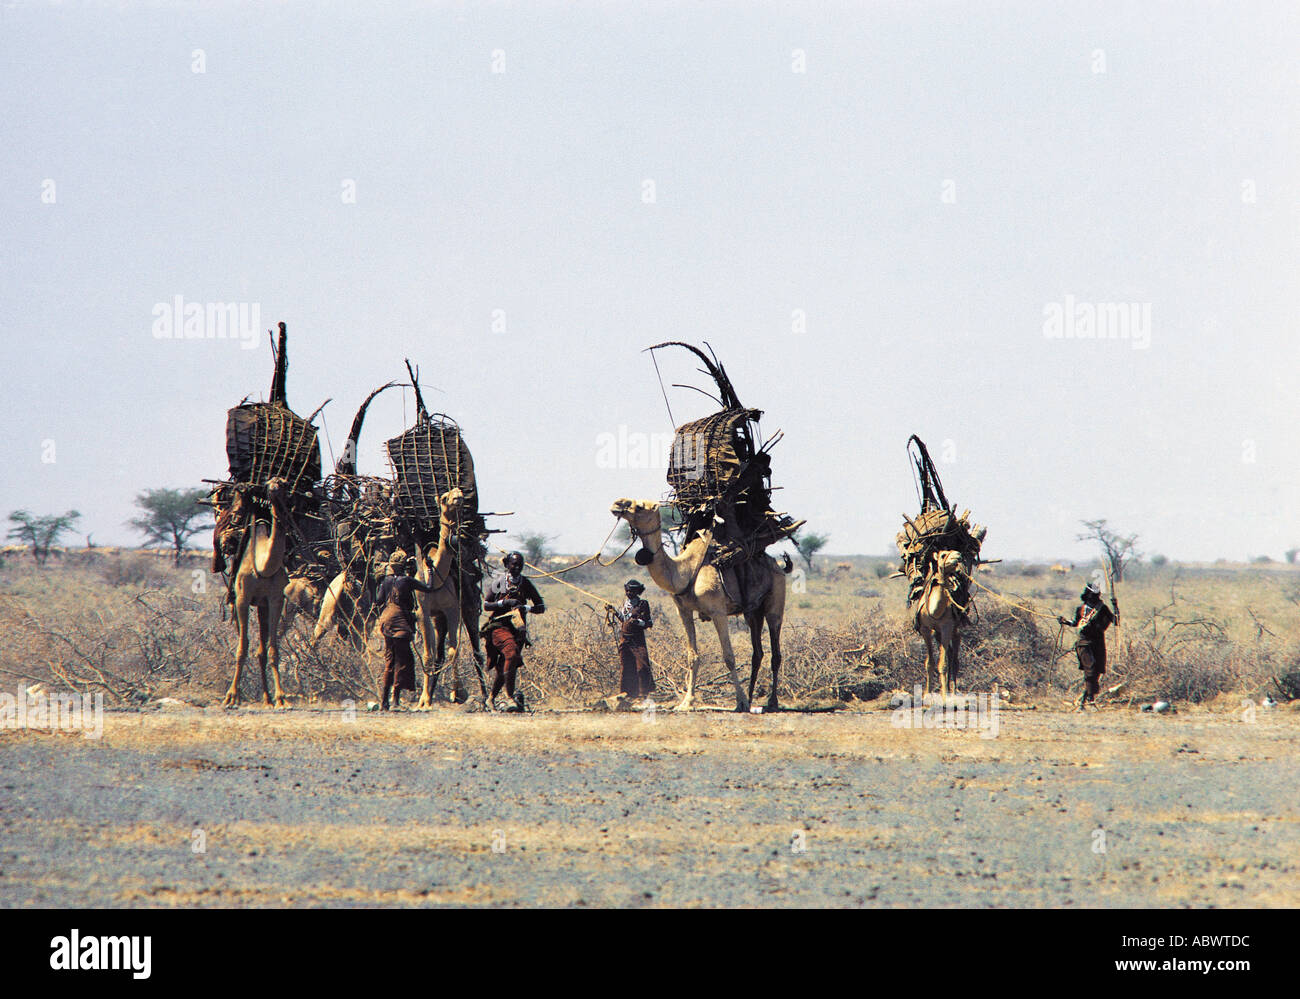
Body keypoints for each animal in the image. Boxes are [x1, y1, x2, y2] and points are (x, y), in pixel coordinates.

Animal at [224, 477, 291, 708]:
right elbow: (241, 648)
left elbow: (273, 649)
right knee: (243, 641)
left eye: (284, 484)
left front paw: (281, 698)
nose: (275, 489)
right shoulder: (243, 598)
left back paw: (267, 698)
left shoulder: (275, 599)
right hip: (238, 602)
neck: (262, 565)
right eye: (269, 483)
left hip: (262, 606)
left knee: (262, 650)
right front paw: (232, 696)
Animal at [610, 498, 790, 712]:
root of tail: (779, 565)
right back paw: (751, 698)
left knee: (775, 649)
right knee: (758, 652)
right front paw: (686, 702)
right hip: (752, 612)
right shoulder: (684, 611)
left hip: (775, 601)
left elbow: (729, 656)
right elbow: (692, 657)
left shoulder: (718, 611)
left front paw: (739, 703)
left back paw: (771, 702)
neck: (684, 572)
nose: (617, 504)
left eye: (639, 507)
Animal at [912, 549, 967, 697]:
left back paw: (952, 690)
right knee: (949, 654)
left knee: (954, 657)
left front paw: (943, 695)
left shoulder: (946, 627)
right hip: (937, 633)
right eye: (943, 555)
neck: (934, 610)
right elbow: (929, 663)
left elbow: (942, 665)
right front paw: (927, 693)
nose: (958, 555)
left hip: (954, 630)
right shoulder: (925, 629)